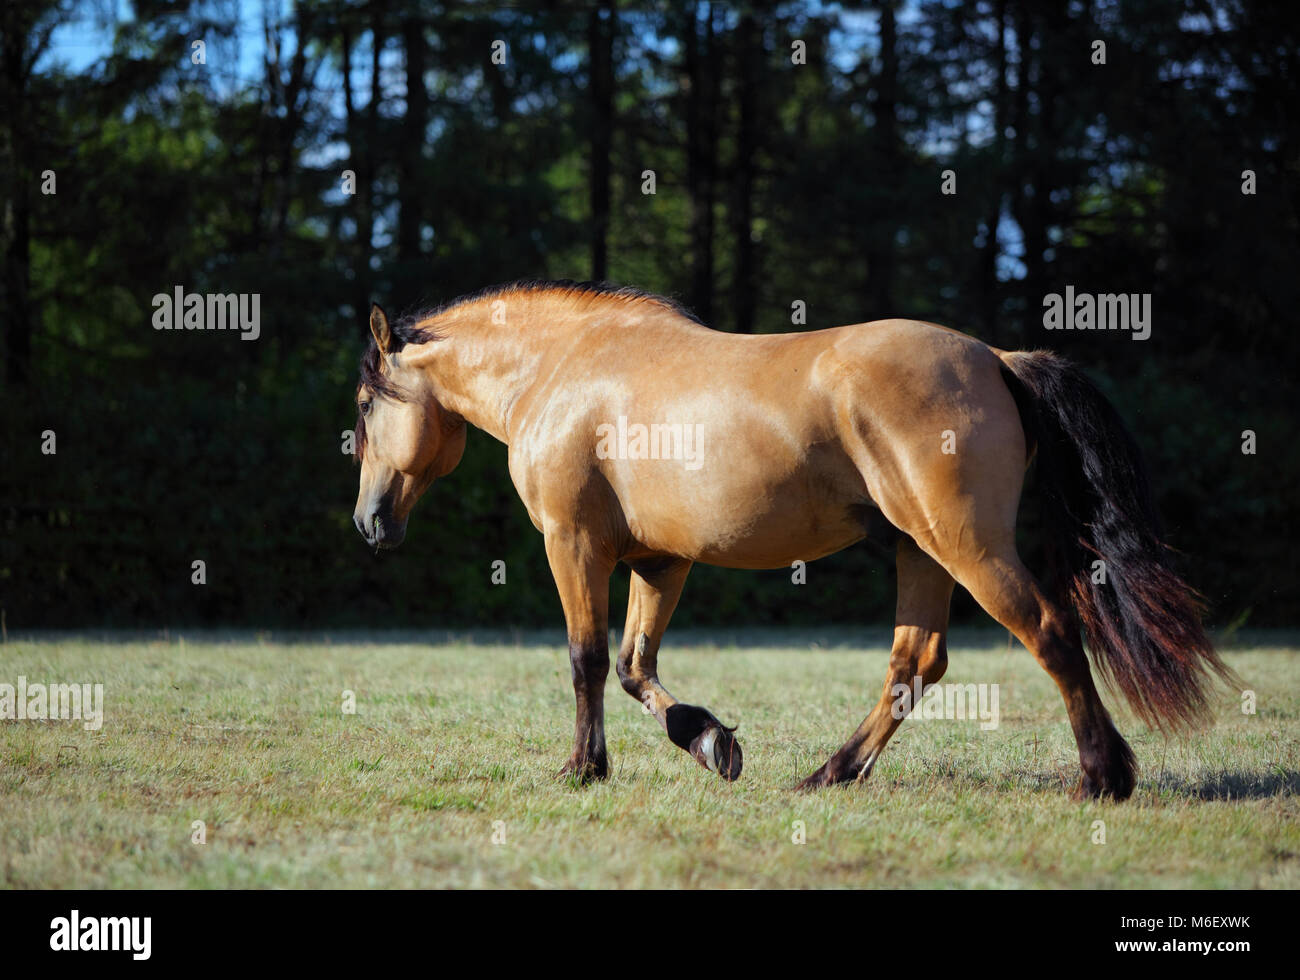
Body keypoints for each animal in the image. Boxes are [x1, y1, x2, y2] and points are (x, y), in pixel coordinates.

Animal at [351, 279, 1233, 799]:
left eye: (364, 406)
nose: (368, 522)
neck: (562, 369)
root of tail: (996, 358)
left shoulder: (575, 546)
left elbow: (588, 659)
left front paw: (584, 768)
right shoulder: (661, 561)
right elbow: (637, 668)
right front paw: (709, 742)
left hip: (966, 546)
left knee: (1049, 632)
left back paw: (1103, 777)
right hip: (921, 550)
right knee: (916, 662)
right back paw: (830, 773)